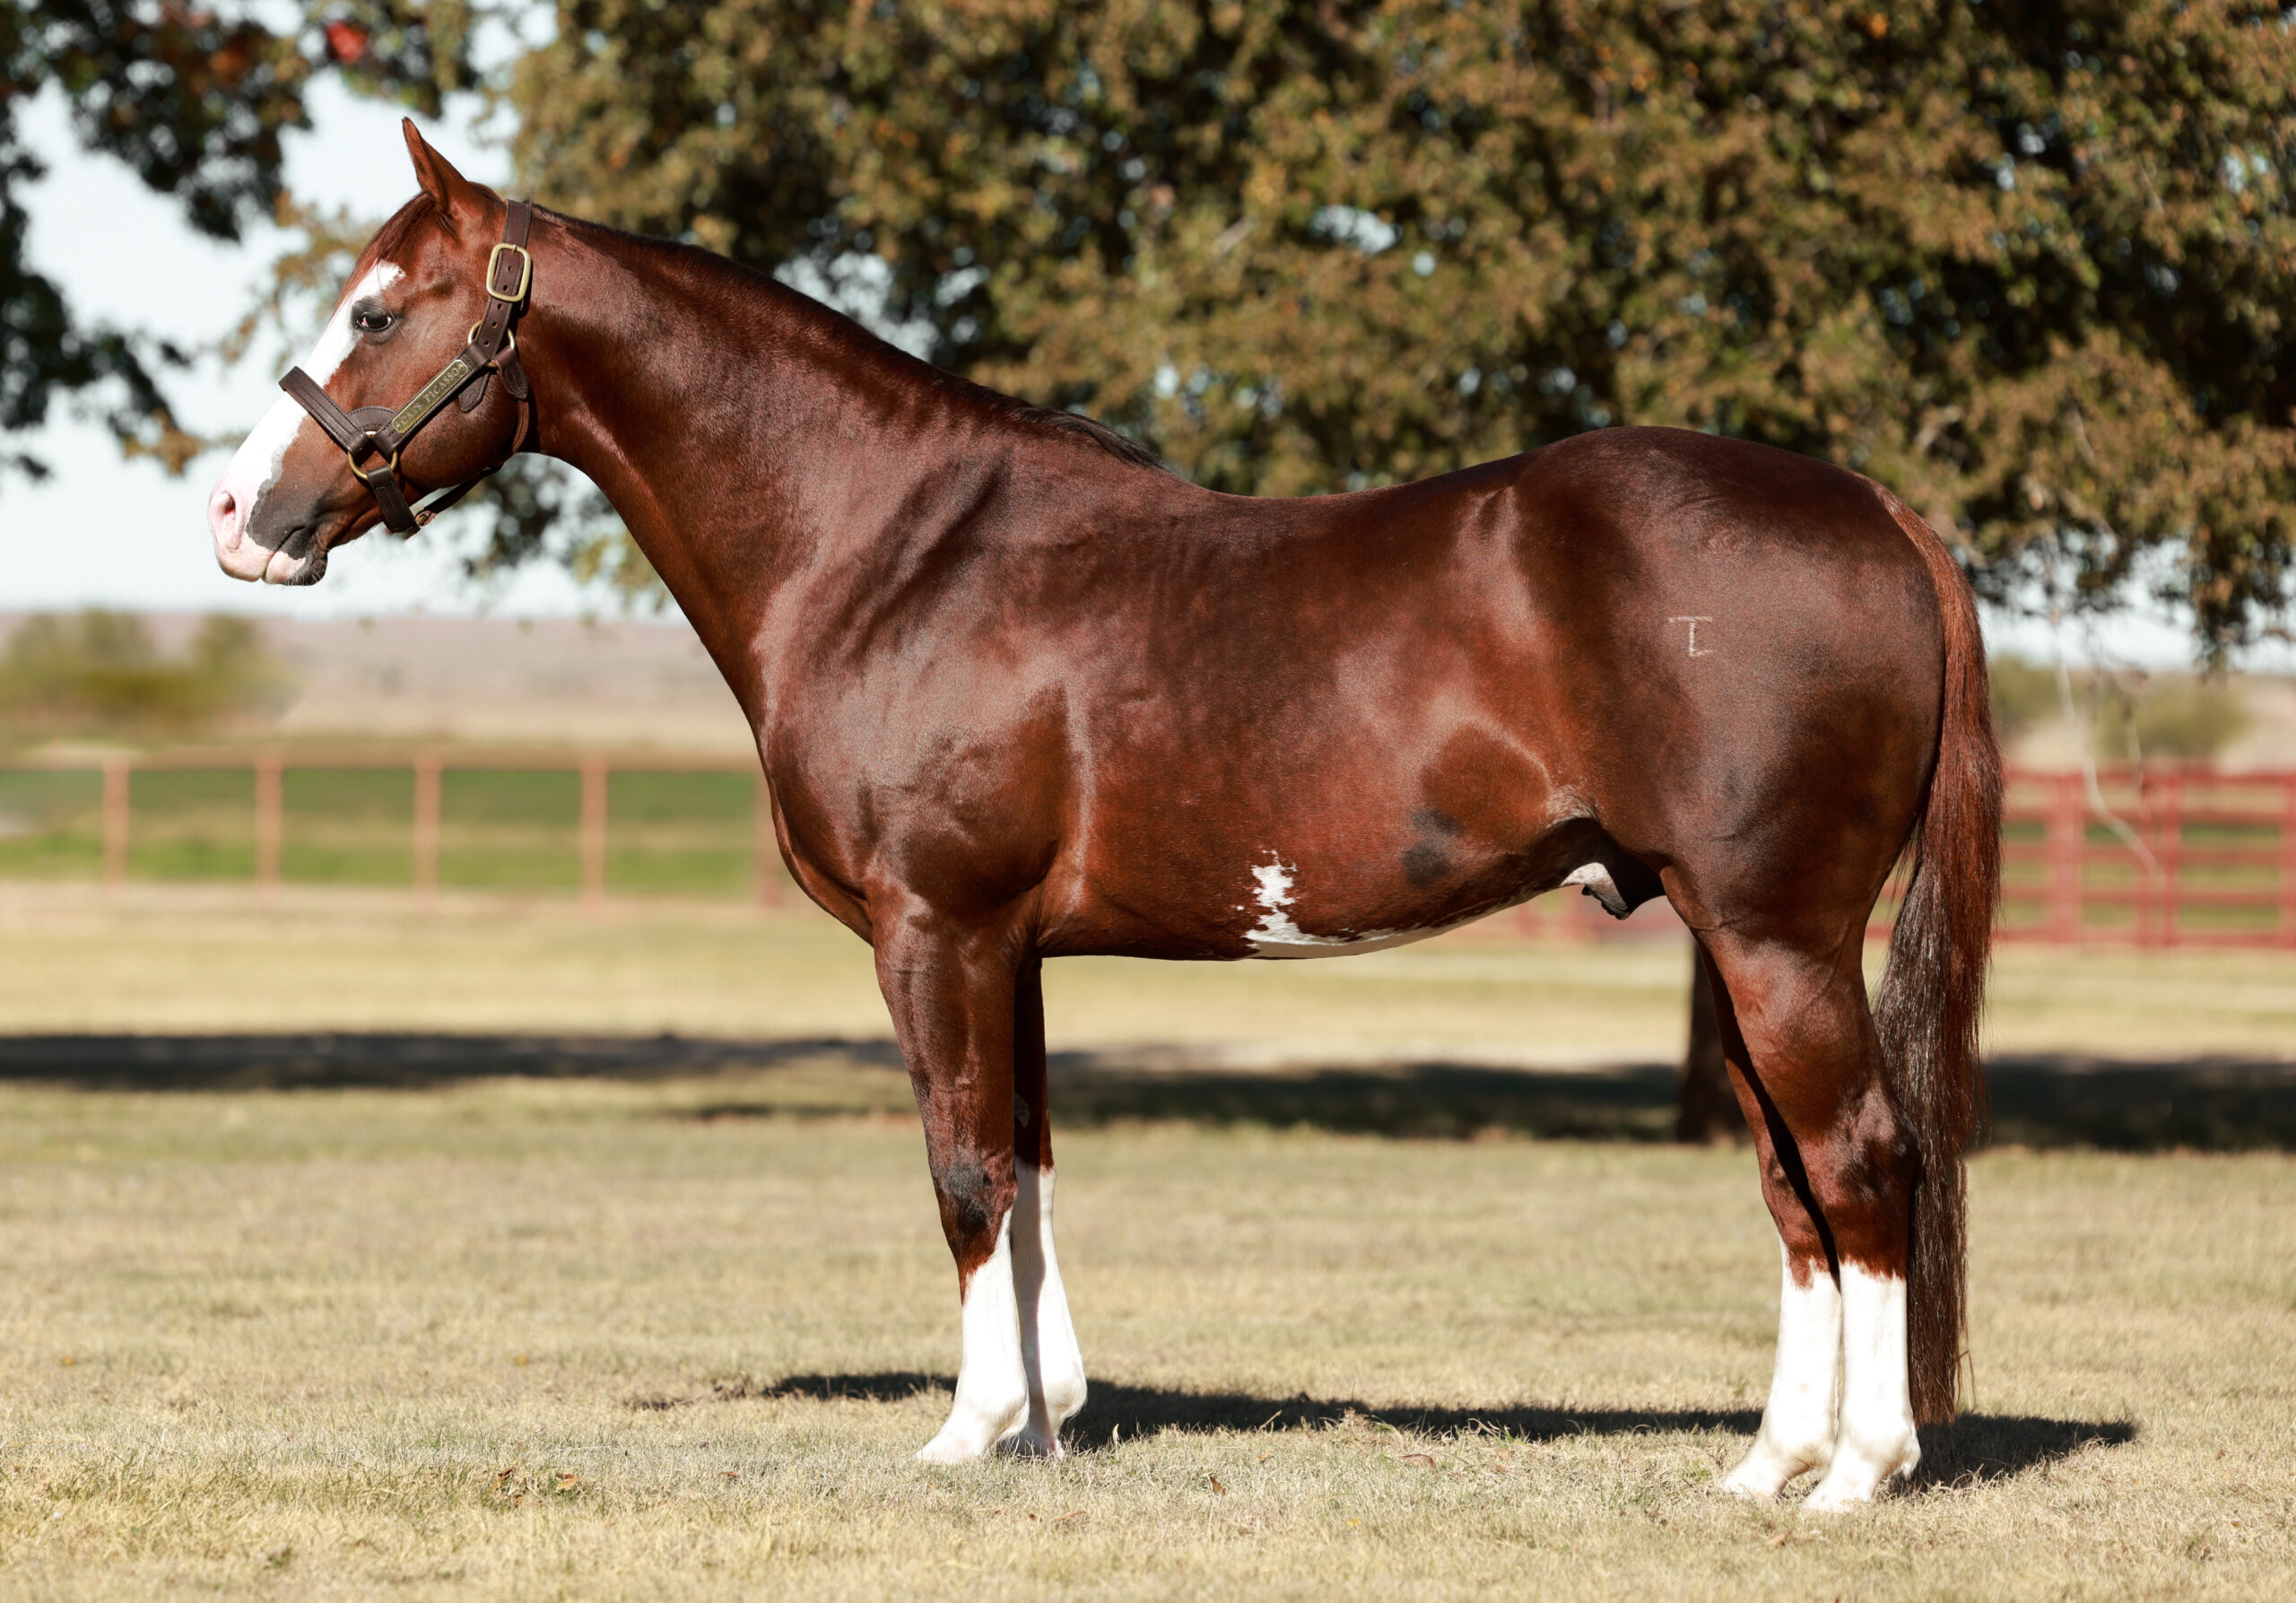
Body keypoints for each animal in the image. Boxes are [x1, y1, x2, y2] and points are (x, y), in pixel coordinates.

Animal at [206, 122, 2000, 1509]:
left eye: (377, 306)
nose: (238, 514)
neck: (891, 549)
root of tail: (1876, 509)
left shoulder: (934, 930)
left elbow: (960, 1168)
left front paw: (969, 1431)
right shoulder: (1015, 949)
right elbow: (1030, 1166)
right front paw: (1051, 1419)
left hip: (1775, 936)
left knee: (1862, 1160)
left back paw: (1860, 1471)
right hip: (1731, 935)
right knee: (1792, 1188)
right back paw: (1767, 1463)